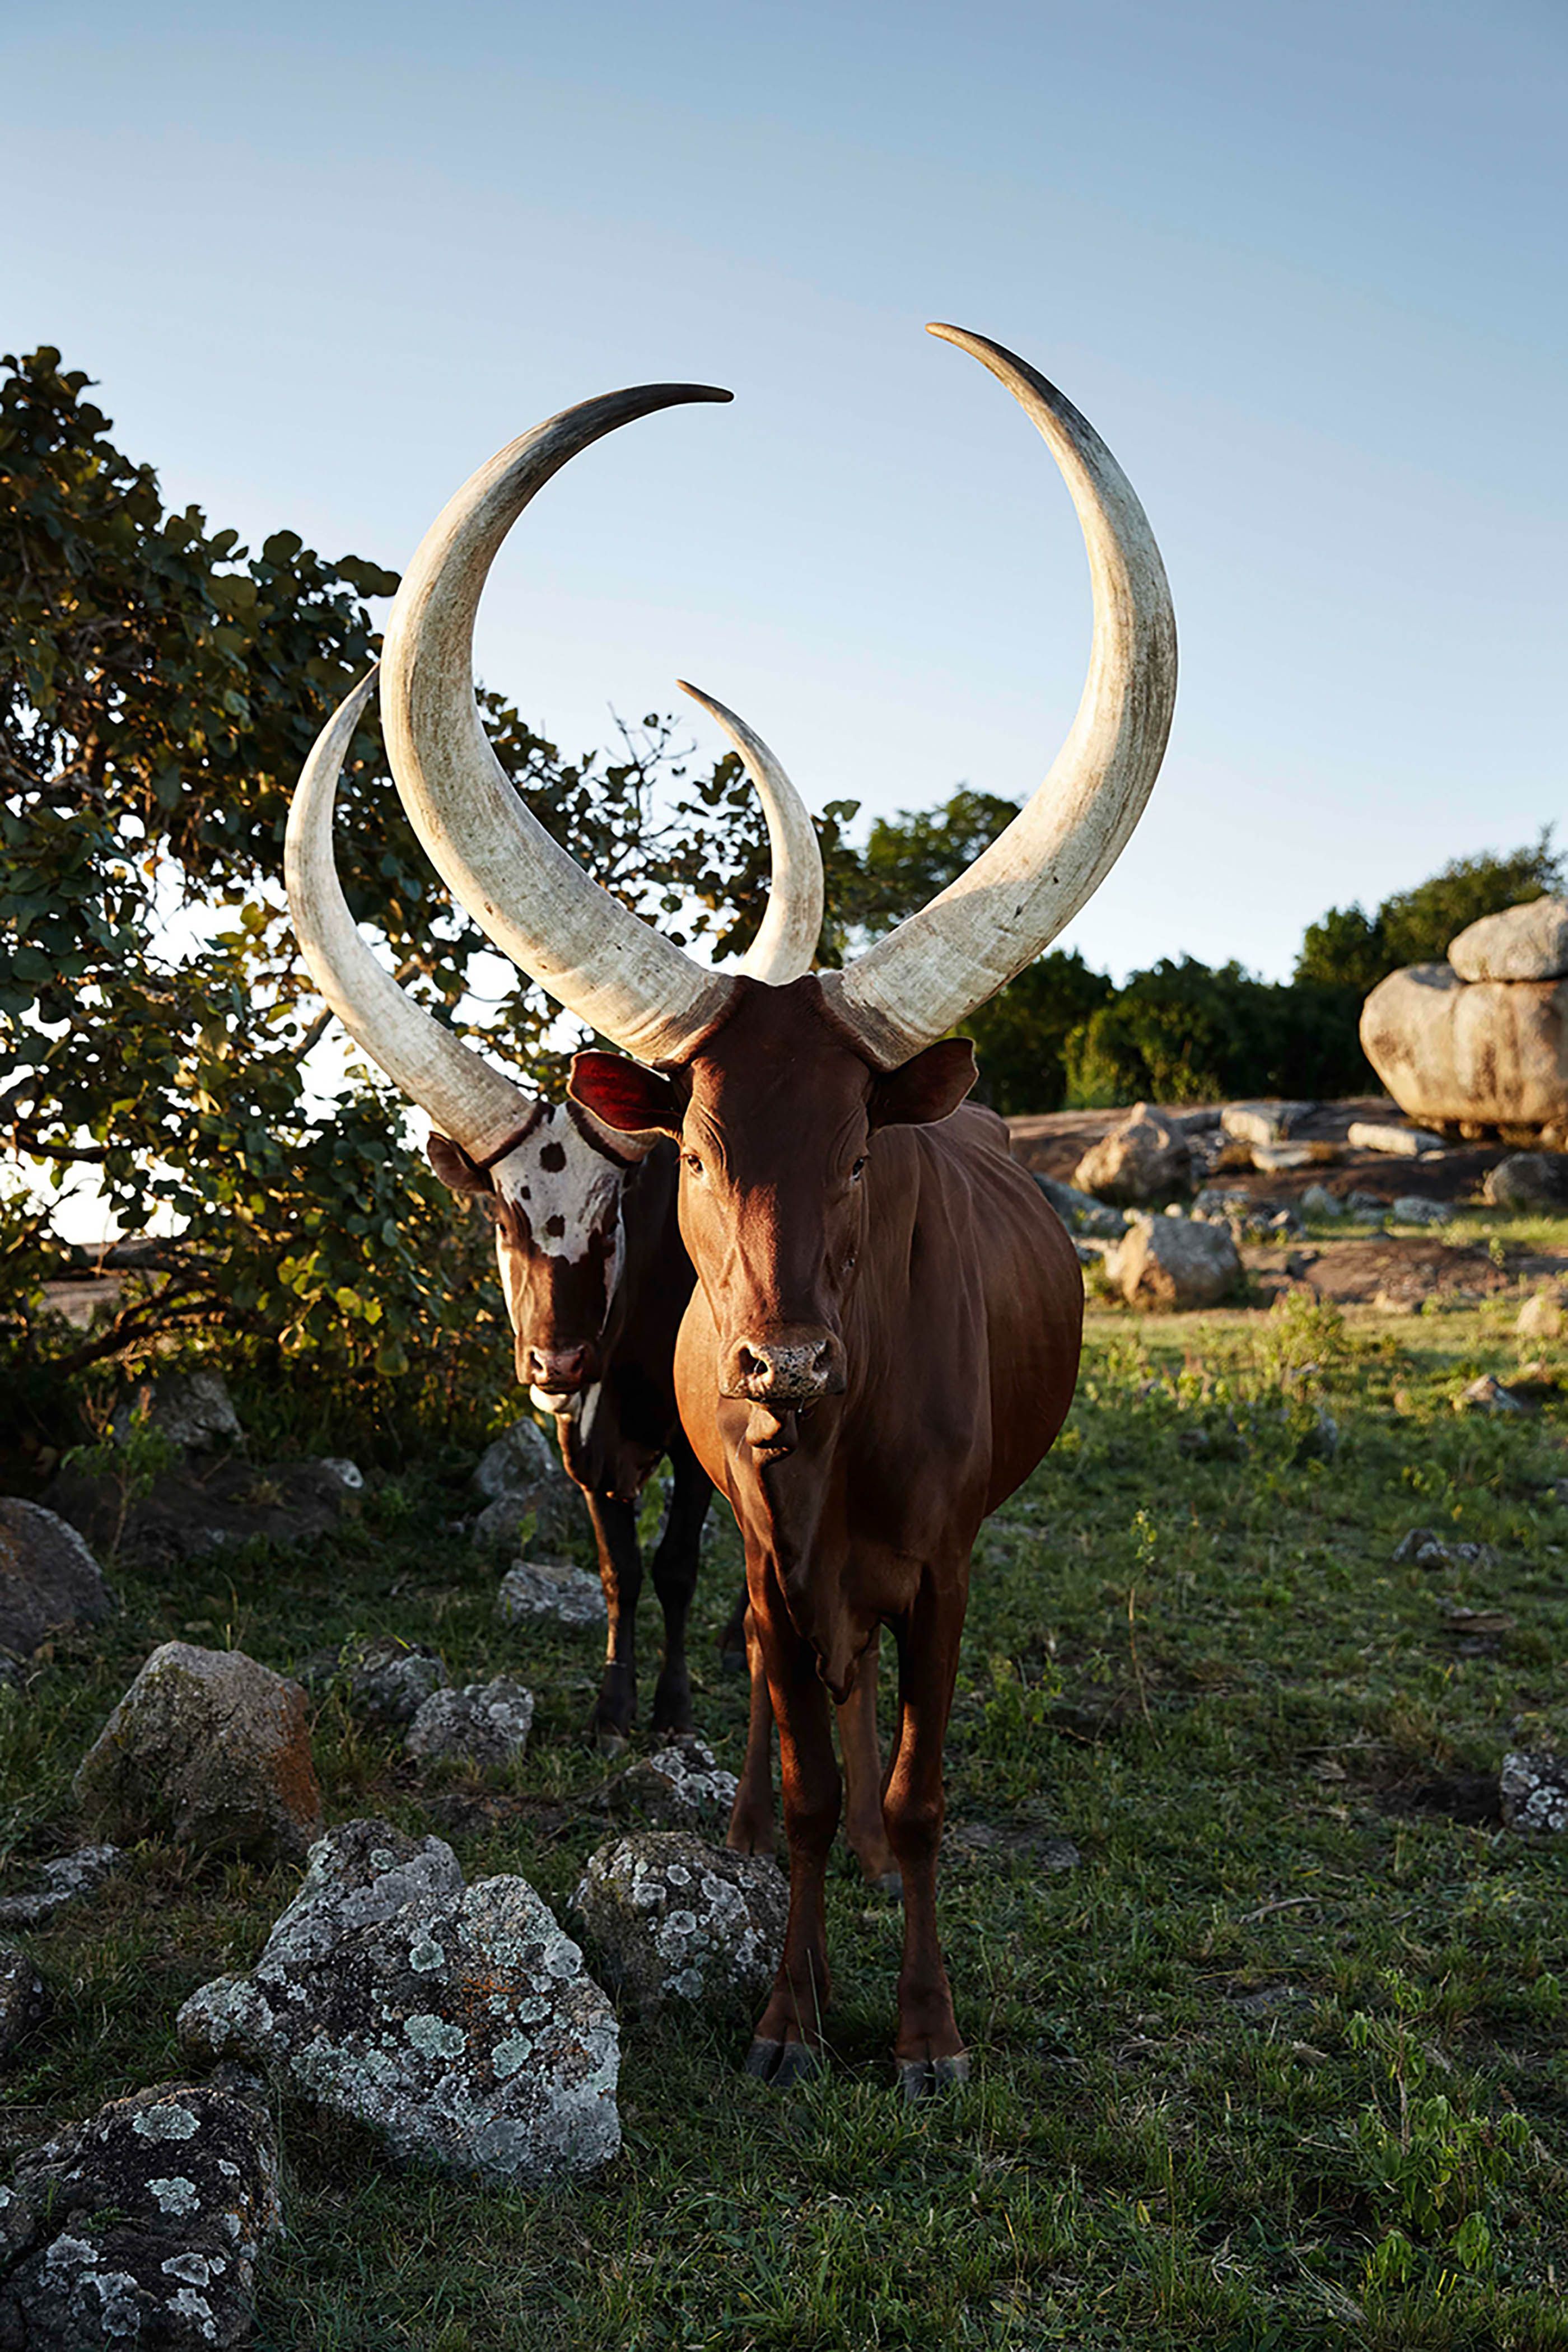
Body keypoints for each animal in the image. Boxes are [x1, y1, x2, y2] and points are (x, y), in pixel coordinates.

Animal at [372, 332, 1176, 2087]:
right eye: (692, 1156)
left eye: (865, 1155)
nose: (786, 1370)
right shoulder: (757, 1547)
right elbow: (804, 1764)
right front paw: (793, 2016)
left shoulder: (945, 1567)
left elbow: (924, 1793)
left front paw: (929, 2031)